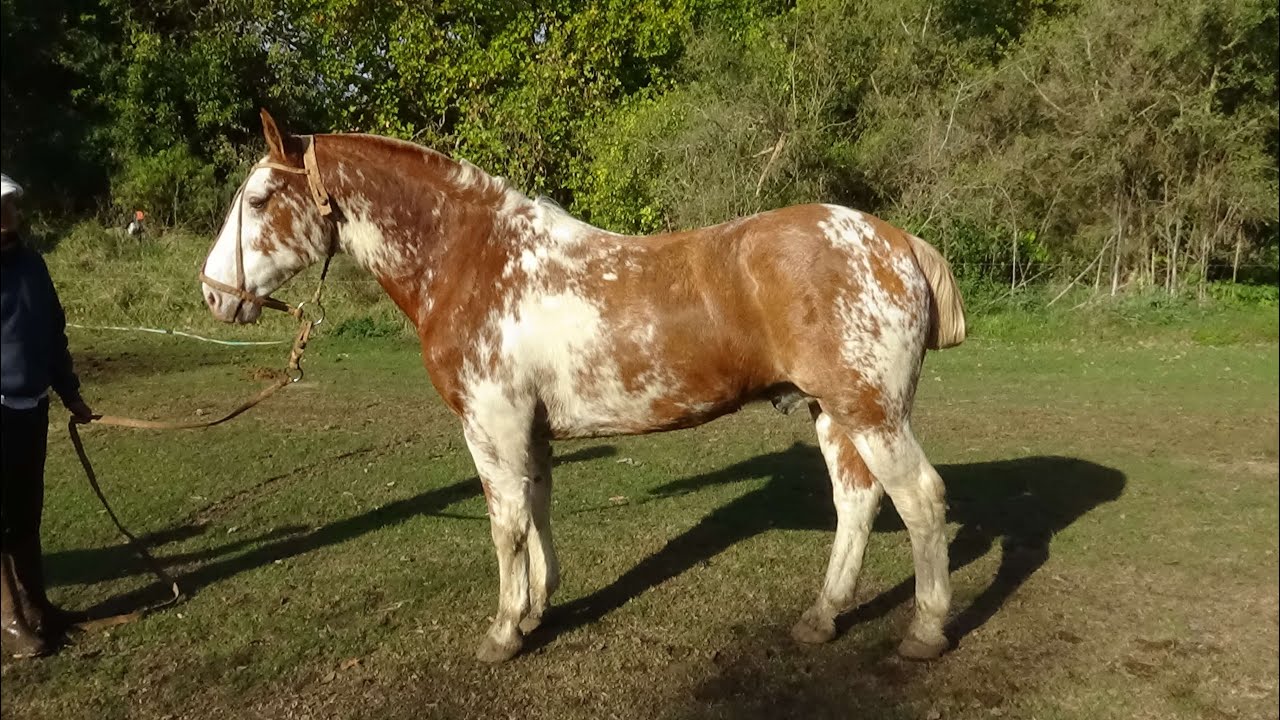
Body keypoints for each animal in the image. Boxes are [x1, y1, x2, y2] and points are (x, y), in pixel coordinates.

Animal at [200, 110, 968, 664]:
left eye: (261, 198)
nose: (214, 295)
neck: (477, 261)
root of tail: (897, 241)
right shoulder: (529, 431)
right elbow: (536, 511)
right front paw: (539, 609)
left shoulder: (492, 426)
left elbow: (505, 524)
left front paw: (503, 632)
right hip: (834, 413)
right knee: (857, 503)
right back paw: (821, 617)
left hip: (871, 412)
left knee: (921, 500)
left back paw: (925, 633)